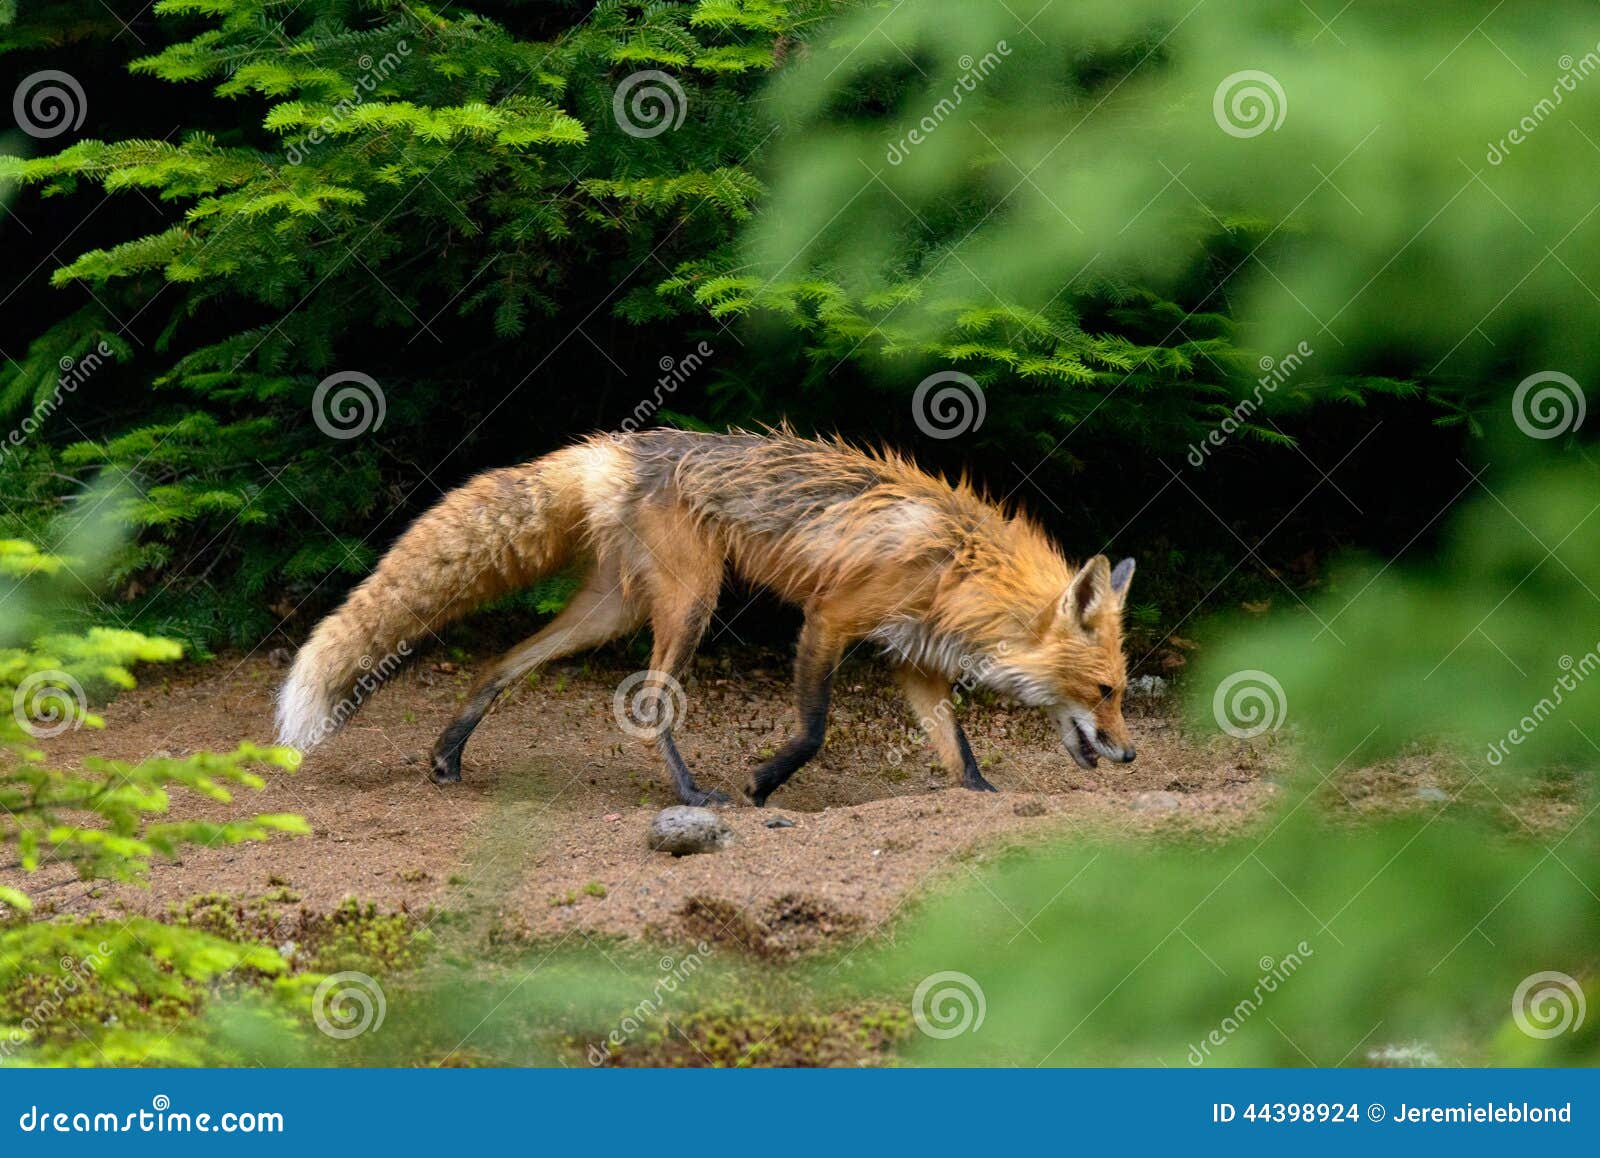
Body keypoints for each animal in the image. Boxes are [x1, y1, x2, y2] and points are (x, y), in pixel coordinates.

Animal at [275, 429, 1137, 807]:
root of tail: (618, 445)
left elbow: (955, 747)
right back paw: (693, 796)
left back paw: (449, 755)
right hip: (691, 604)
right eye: (1106, 692)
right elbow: (815, 729)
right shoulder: (829, 618)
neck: (958, 563)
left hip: (610, 610)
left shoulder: (913, 662)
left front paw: (983, 796)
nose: (1130, 755)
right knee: (649, 705)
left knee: (502, 661)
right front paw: (763, 784)